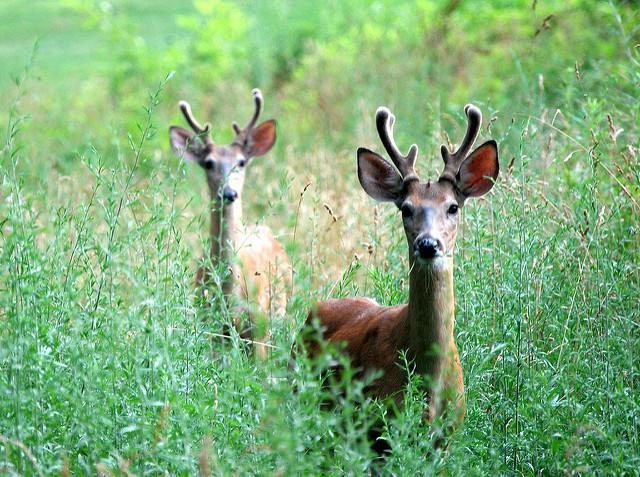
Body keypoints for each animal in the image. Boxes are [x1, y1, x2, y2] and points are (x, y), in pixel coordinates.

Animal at [169, 88, 292, 356]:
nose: (228, 193)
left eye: (242, 161)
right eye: (208, 163)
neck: (230, 294)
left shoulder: (260, 326)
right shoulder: (211, 326)